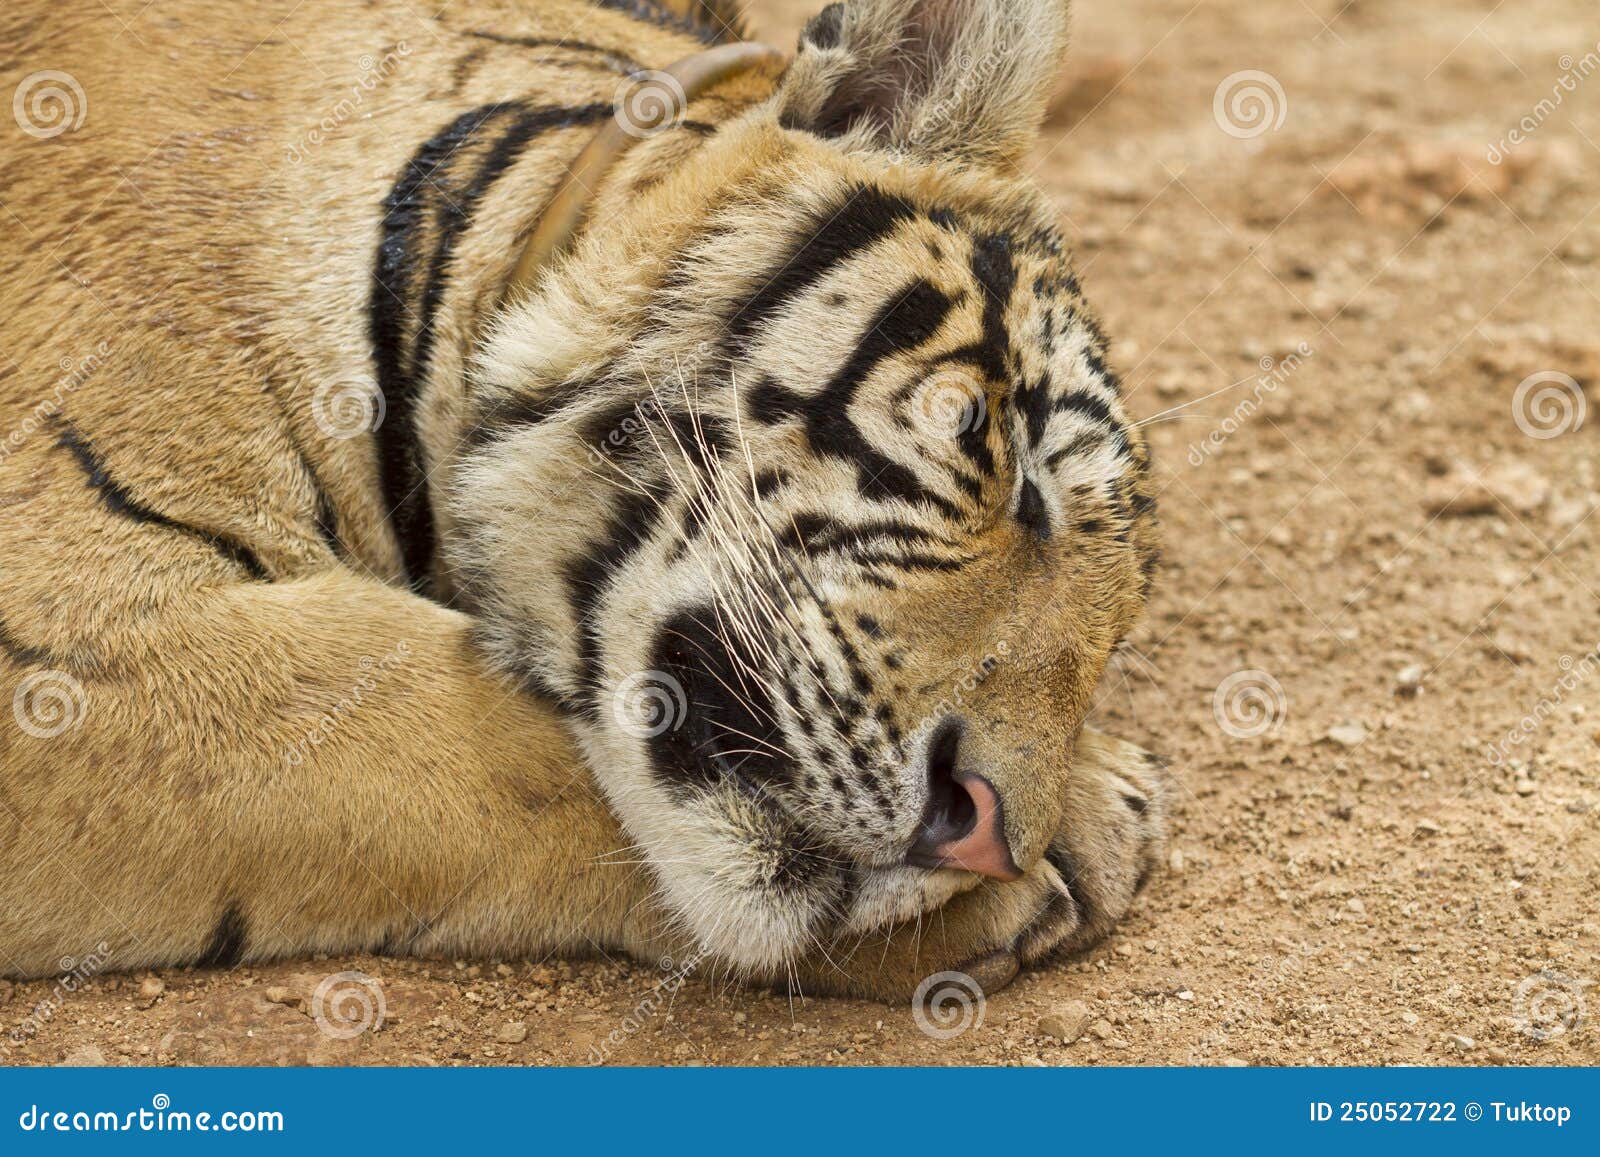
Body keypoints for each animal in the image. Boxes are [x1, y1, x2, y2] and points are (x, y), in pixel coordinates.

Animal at [0, 0, 1168, 1002]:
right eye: (1015, 469)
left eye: (1111, 644)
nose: (989, 835)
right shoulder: (70, 643)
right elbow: (467, 728)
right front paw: (1088, 833)